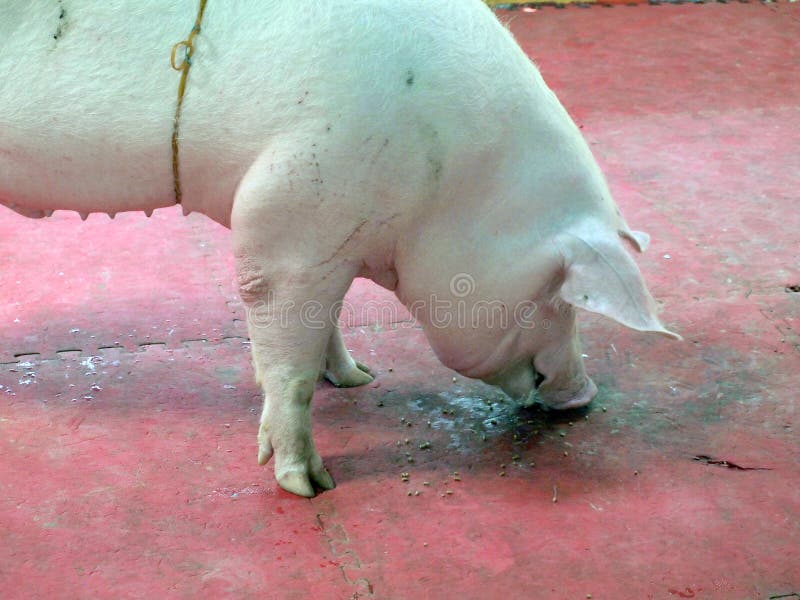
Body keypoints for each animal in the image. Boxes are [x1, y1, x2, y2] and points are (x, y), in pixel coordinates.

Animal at [0, 0, 678, 497]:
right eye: (560, 294)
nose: (585, 396)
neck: (453, 186)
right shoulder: (285, 215)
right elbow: (286, 361)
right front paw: (311, 486)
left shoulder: (330, 237)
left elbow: (325, 321)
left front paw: (357, 379)